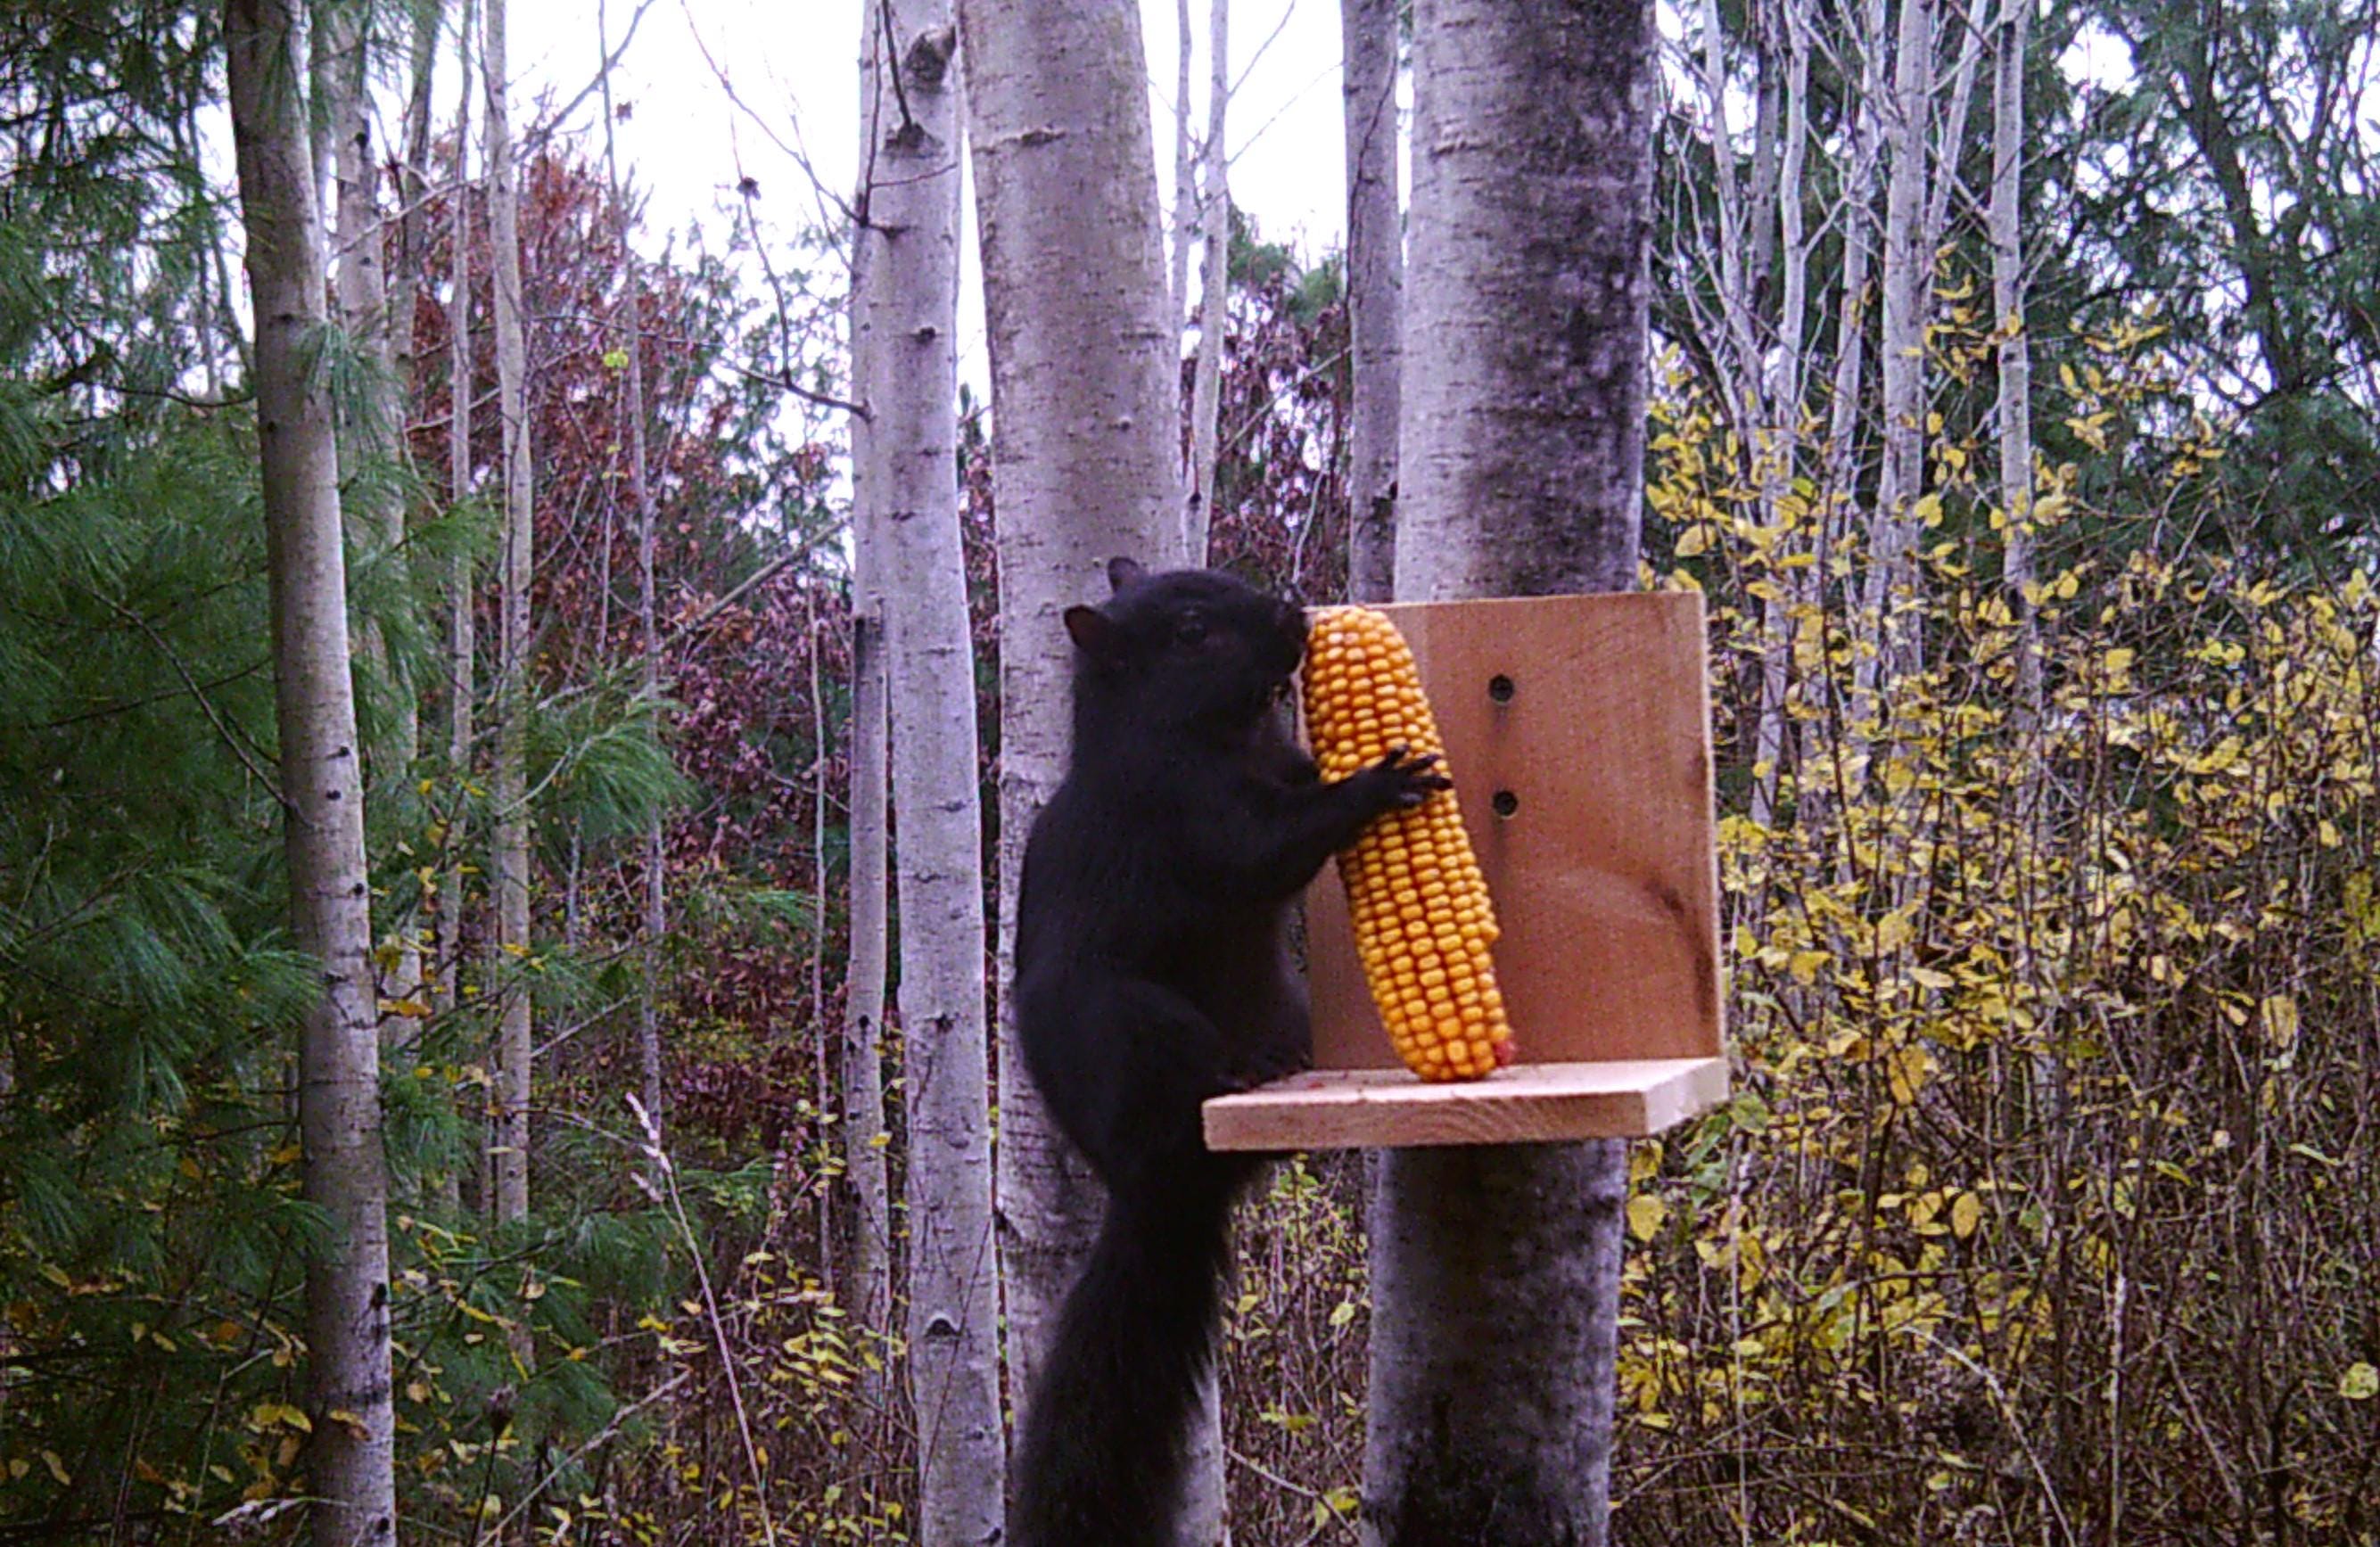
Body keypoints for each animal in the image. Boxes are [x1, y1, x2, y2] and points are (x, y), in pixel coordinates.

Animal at [1007, 558, 1446, 1547]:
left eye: (1219, 580)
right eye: (1190, 635)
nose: (1293, 615)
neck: (1225, 737)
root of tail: (1151, 1186)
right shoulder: (1181, 816)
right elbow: (1264, 850)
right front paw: (1376, 782)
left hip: (1284, 1013)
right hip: (1140, 1028)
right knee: (1180, 1083)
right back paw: (1234, 1078)